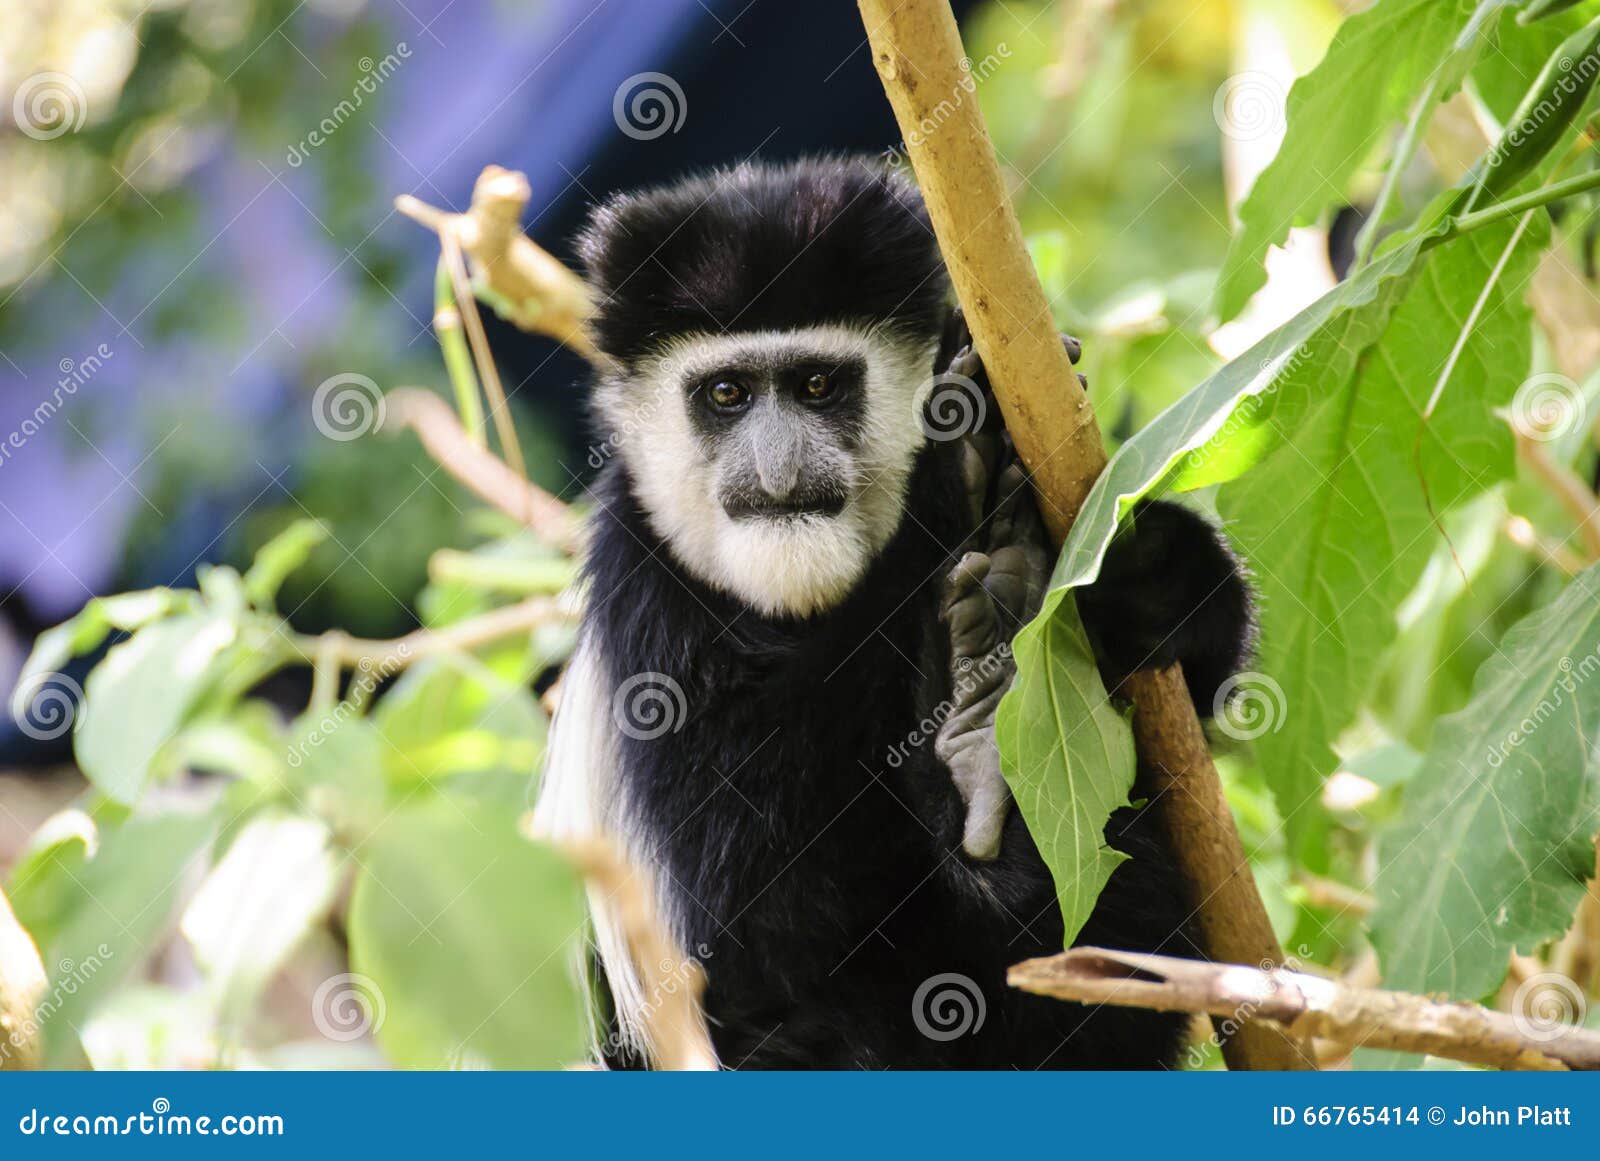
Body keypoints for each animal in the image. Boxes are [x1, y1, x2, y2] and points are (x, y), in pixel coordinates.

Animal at [532, 157, 1254, 1069]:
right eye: (726, 393)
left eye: (817, 384)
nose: (777, 470)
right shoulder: (647, 605)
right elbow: (757, 900)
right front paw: (953, 457)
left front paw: (1158, 574)